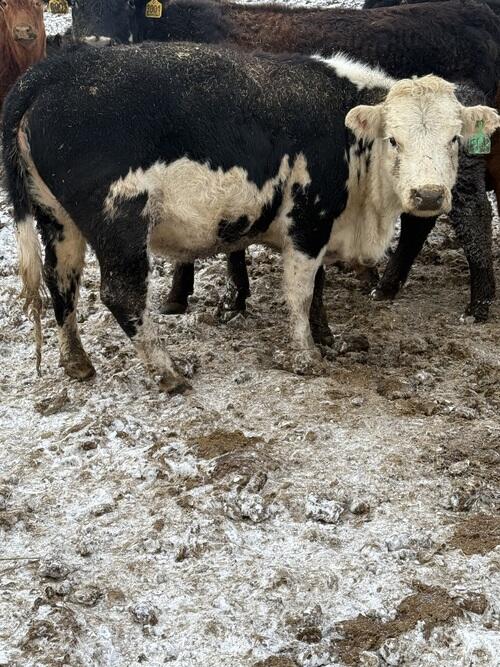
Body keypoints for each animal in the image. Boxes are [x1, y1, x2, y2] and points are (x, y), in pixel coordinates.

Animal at [2, 43, 498, 391]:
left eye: (455, 138)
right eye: (394, 139)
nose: (429, 194)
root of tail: (50, 72)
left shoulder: (318, 226)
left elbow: (317, 291)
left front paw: (326, 338)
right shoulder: (308, 220)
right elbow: (300, 292)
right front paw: (305, 356)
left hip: (57, 220)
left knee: (61, 282)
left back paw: (76, 362)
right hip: (120, 224)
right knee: (121, 295)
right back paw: (168, 372)